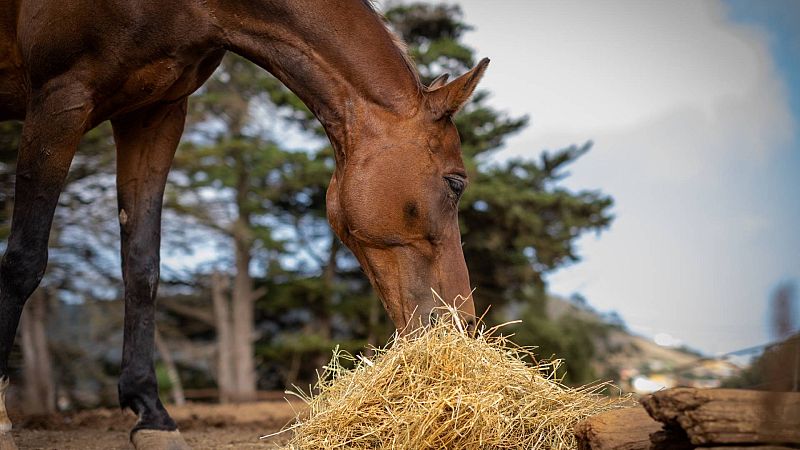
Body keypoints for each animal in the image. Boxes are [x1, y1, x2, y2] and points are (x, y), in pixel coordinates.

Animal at [0, 0, 487, 447]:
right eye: (455, 183)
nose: (463, 324)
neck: (188, 10)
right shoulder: (62, 97)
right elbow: (23, 261)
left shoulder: (154, 113)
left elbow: (142, 268)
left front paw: (152, 415)